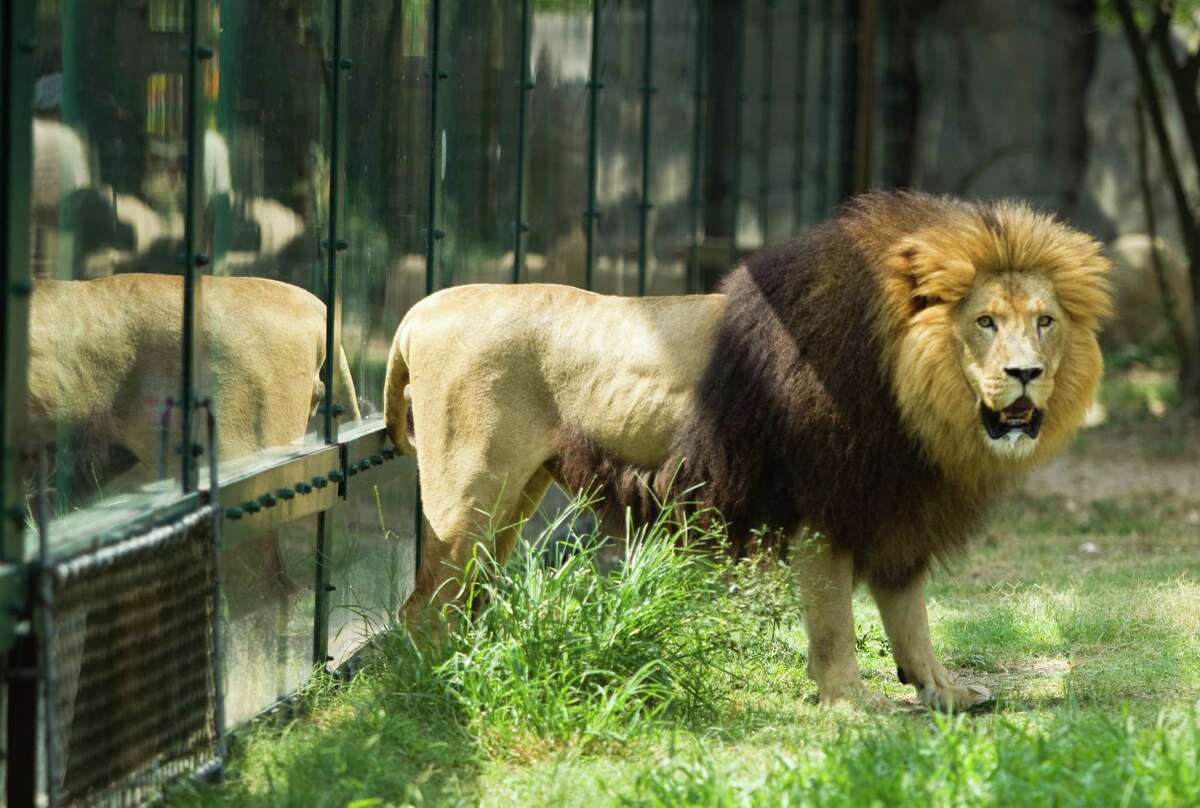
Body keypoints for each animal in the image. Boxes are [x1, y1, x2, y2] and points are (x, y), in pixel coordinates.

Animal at [384, 191, 1111, 710]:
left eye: (1045, 322)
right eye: (985, 322)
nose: (1026, 373)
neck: (915, 391)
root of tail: (422, 310)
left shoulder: (893, 504)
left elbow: (911, 615)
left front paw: (940, 689)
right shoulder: (828, 504)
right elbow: (834, 622)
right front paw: (851, 703)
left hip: (512, 499)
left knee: (463, 597)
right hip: (471, 494)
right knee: (421, 607)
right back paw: (438, 687)